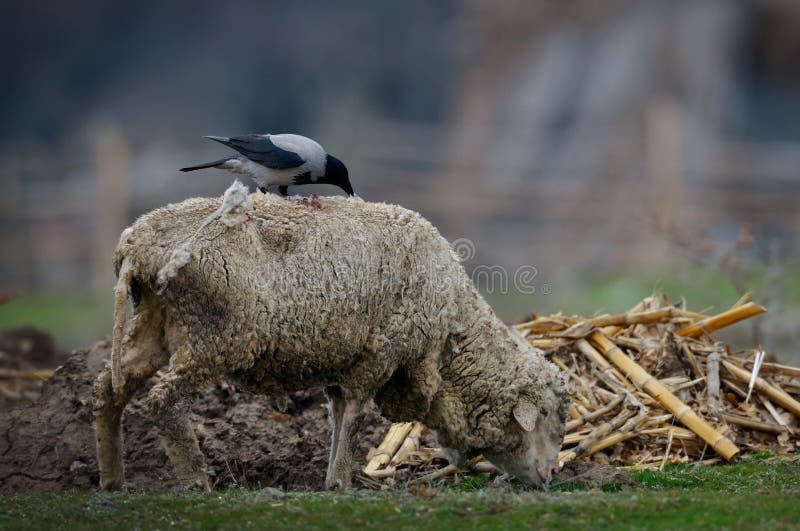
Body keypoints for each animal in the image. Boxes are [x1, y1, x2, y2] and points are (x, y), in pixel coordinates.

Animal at [93, 183, 567, 491]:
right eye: (547, 414)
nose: (550, 474)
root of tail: (135, 243)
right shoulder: (383, 350)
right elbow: (354, 415)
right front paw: (341, 481)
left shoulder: (347, 357)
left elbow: (338, 413)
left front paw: (331, 478)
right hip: (217, 334)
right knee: (164, 400)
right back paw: (194, 480)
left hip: (156, 324)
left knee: (109, 389)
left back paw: (113, 479)